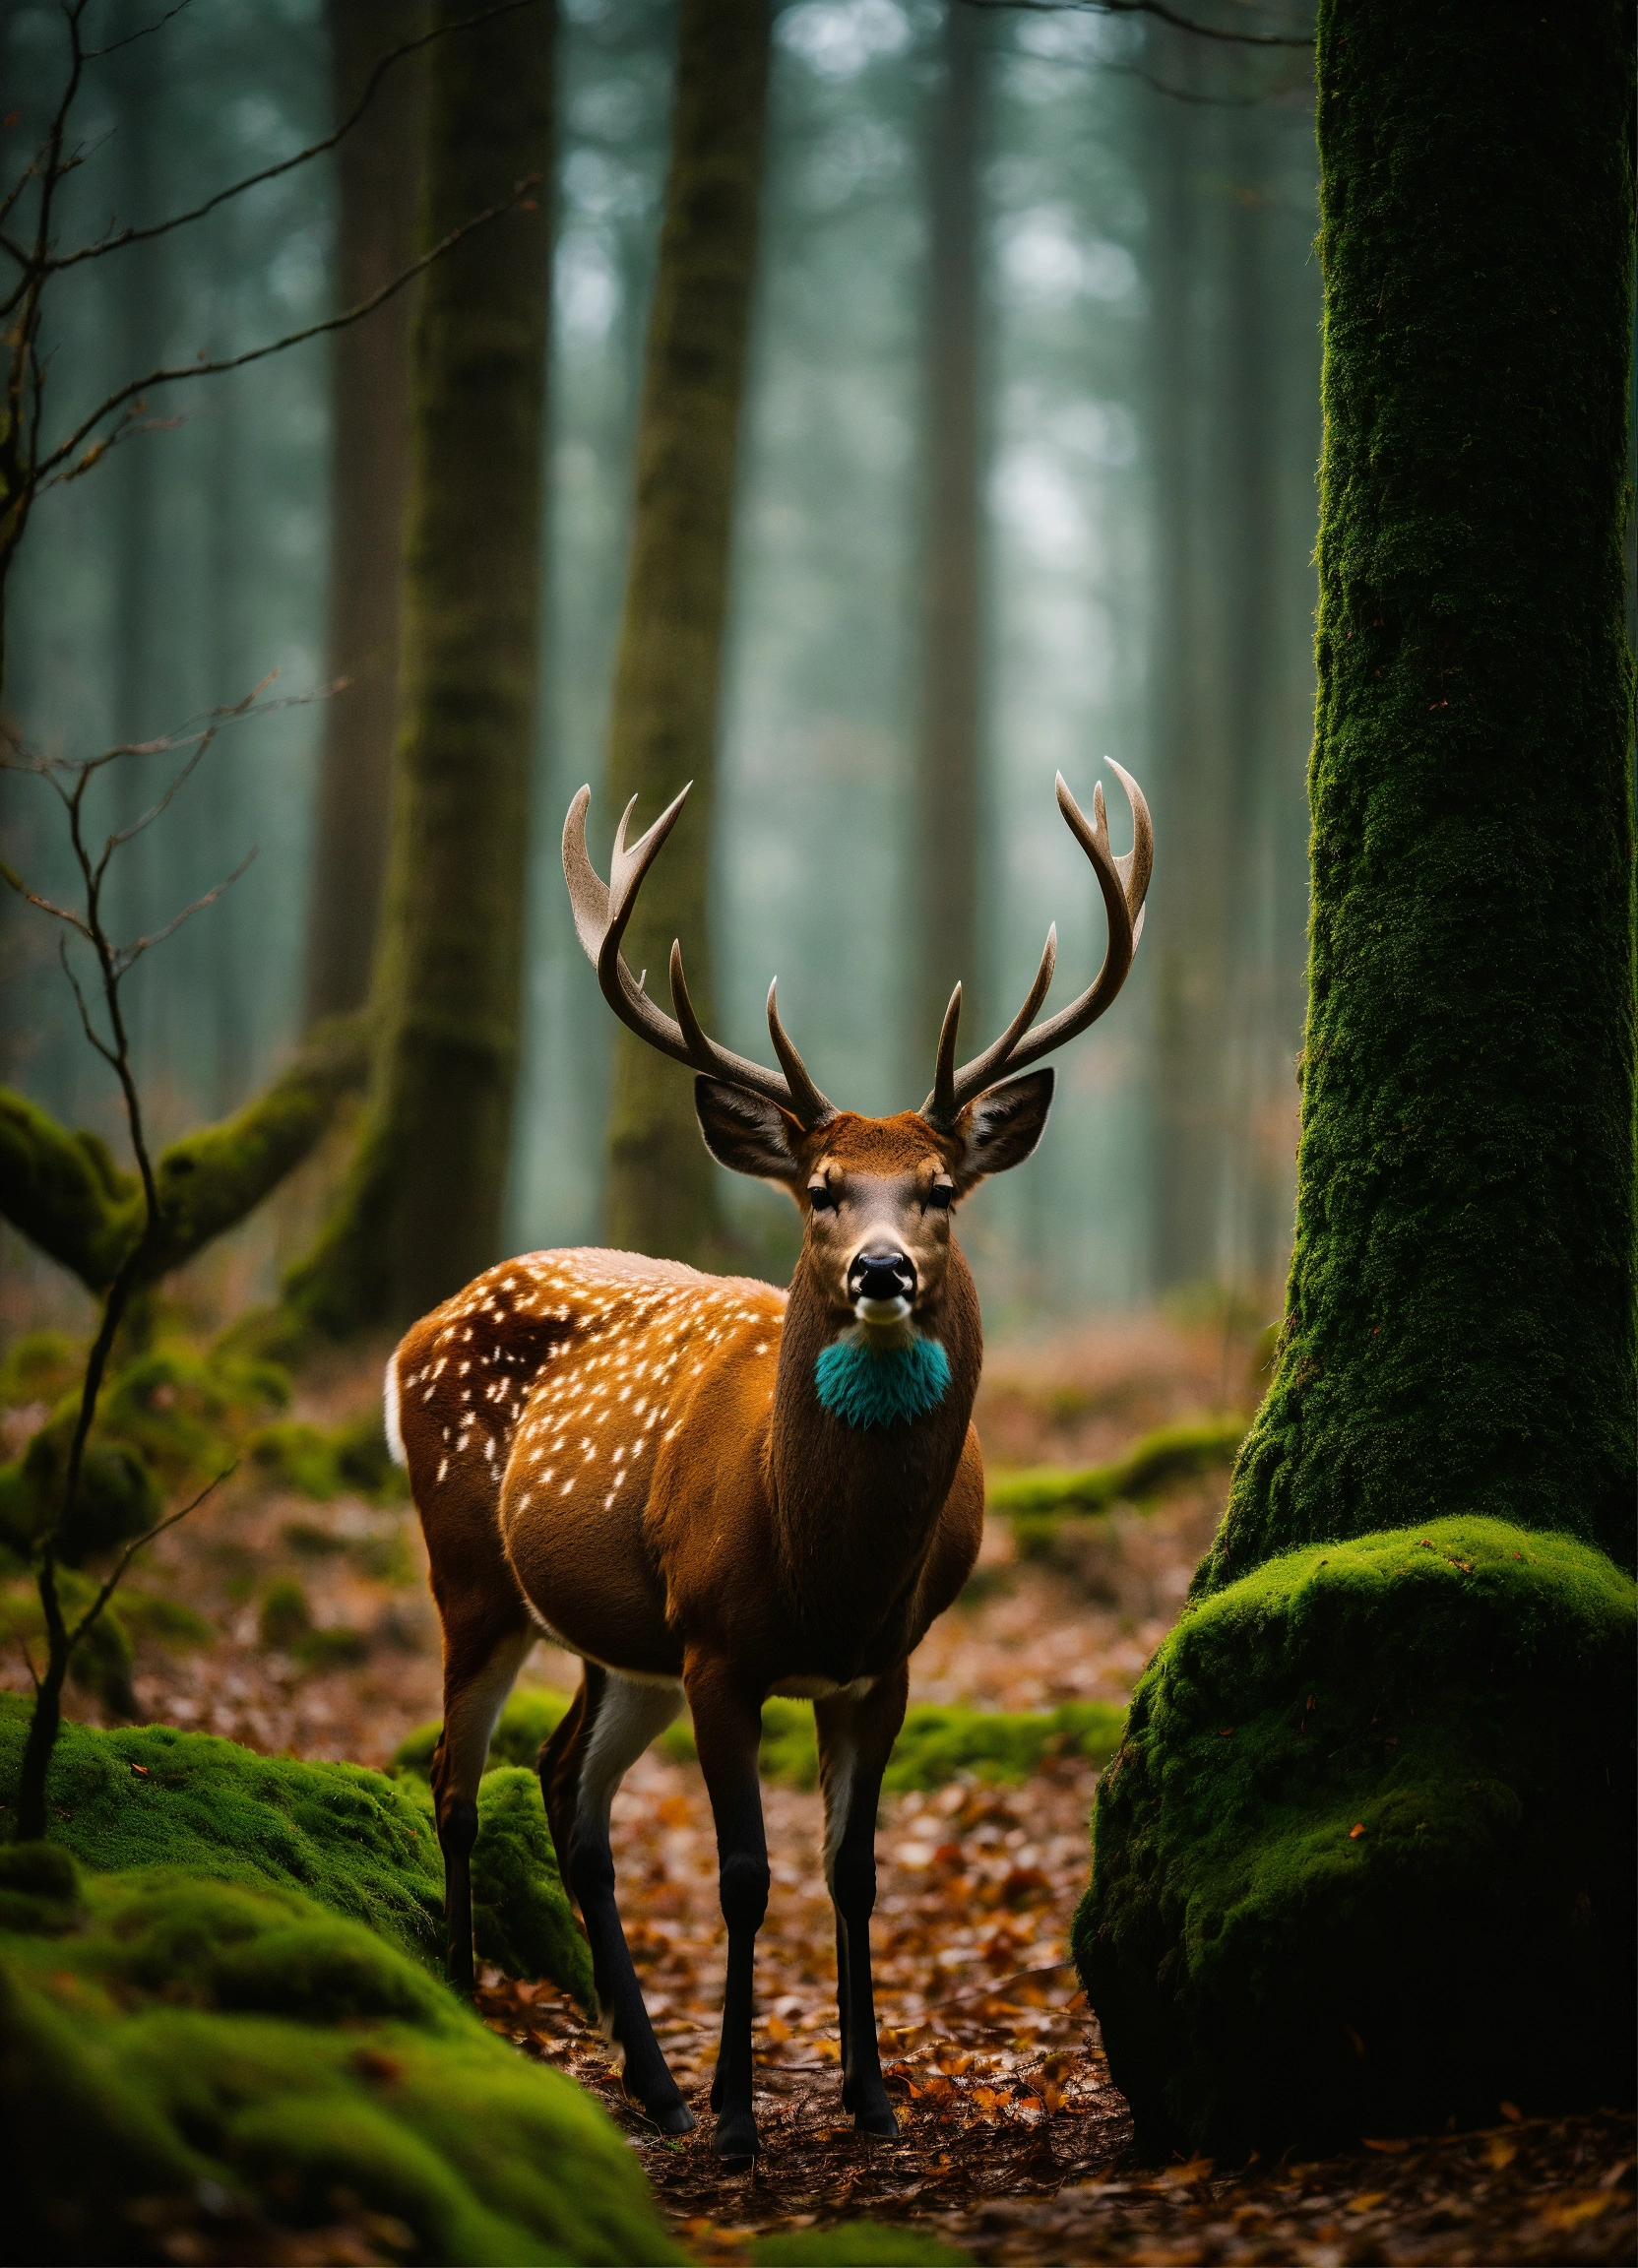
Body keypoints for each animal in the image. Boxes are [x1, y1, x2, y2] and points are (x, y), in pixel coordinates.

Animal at [386, 764, 1151, 2160]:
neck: (822, 1570)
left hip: (619, 1639)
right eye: (820, 1188)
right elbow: (745, 1876)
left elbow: (853, 1870)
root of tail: (424, 1321)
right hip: (472, 1570)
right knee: (457, 1780)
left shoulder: (879, 1662)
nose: (881, 1270)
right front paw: (747, 2113)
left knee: (564, 1787)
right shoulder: (719, 1644)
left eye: (940, 1188)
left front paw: (869, 2098)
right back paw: (479, 2015)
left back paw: (655, 2085)